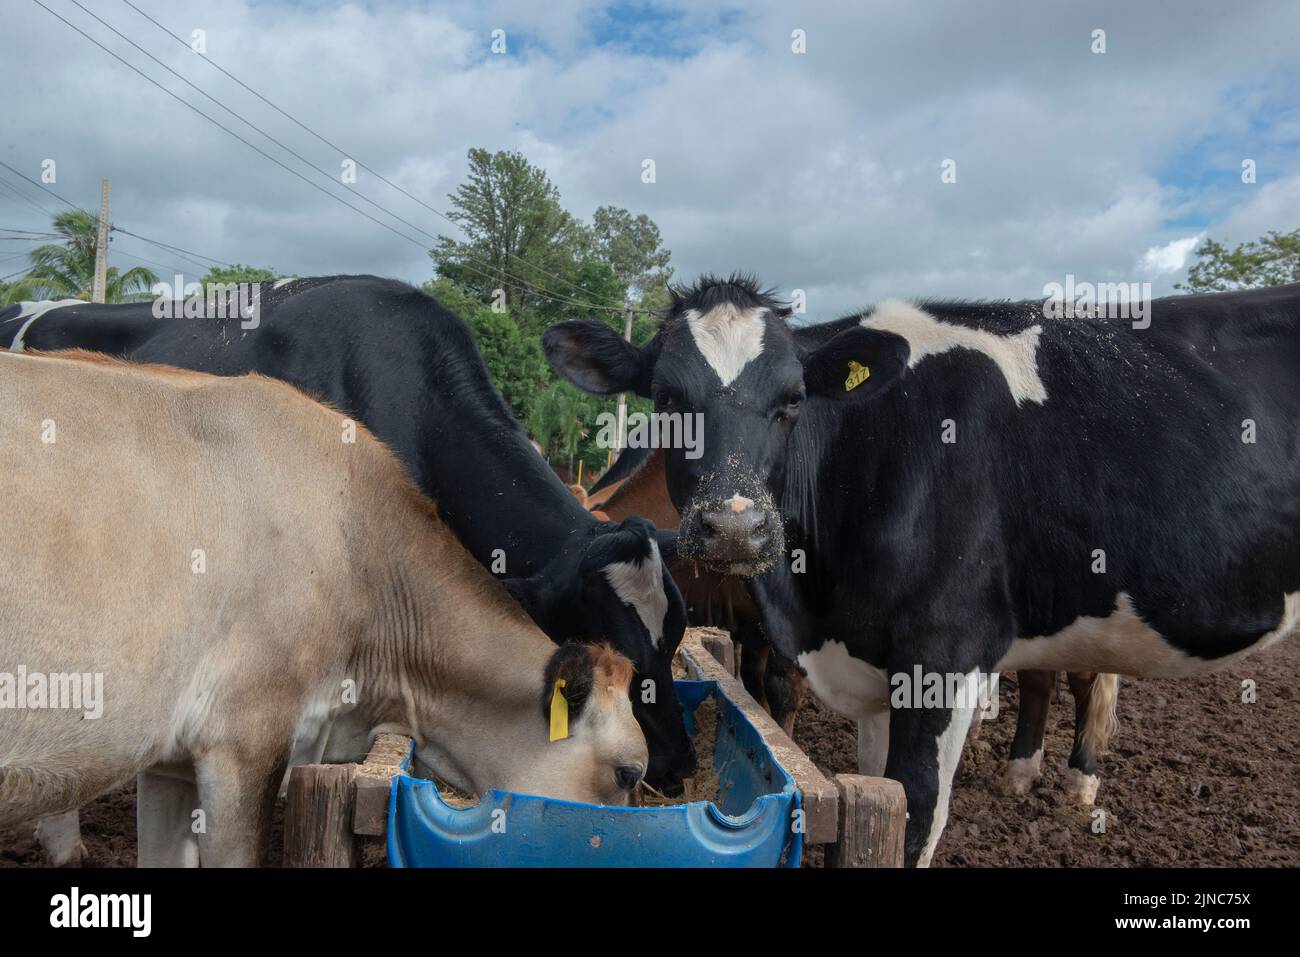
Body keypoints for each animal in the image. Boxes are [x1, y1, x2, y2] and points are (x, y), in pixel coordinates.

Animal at [543, 274, 1300, 866]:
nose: (735, 526)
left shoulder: (945, 656)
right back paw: (1025, 775)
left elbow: (913, 821)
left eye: (793, 401)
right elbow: (874, 787)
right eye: (669, 400)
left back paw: (1079, 781)